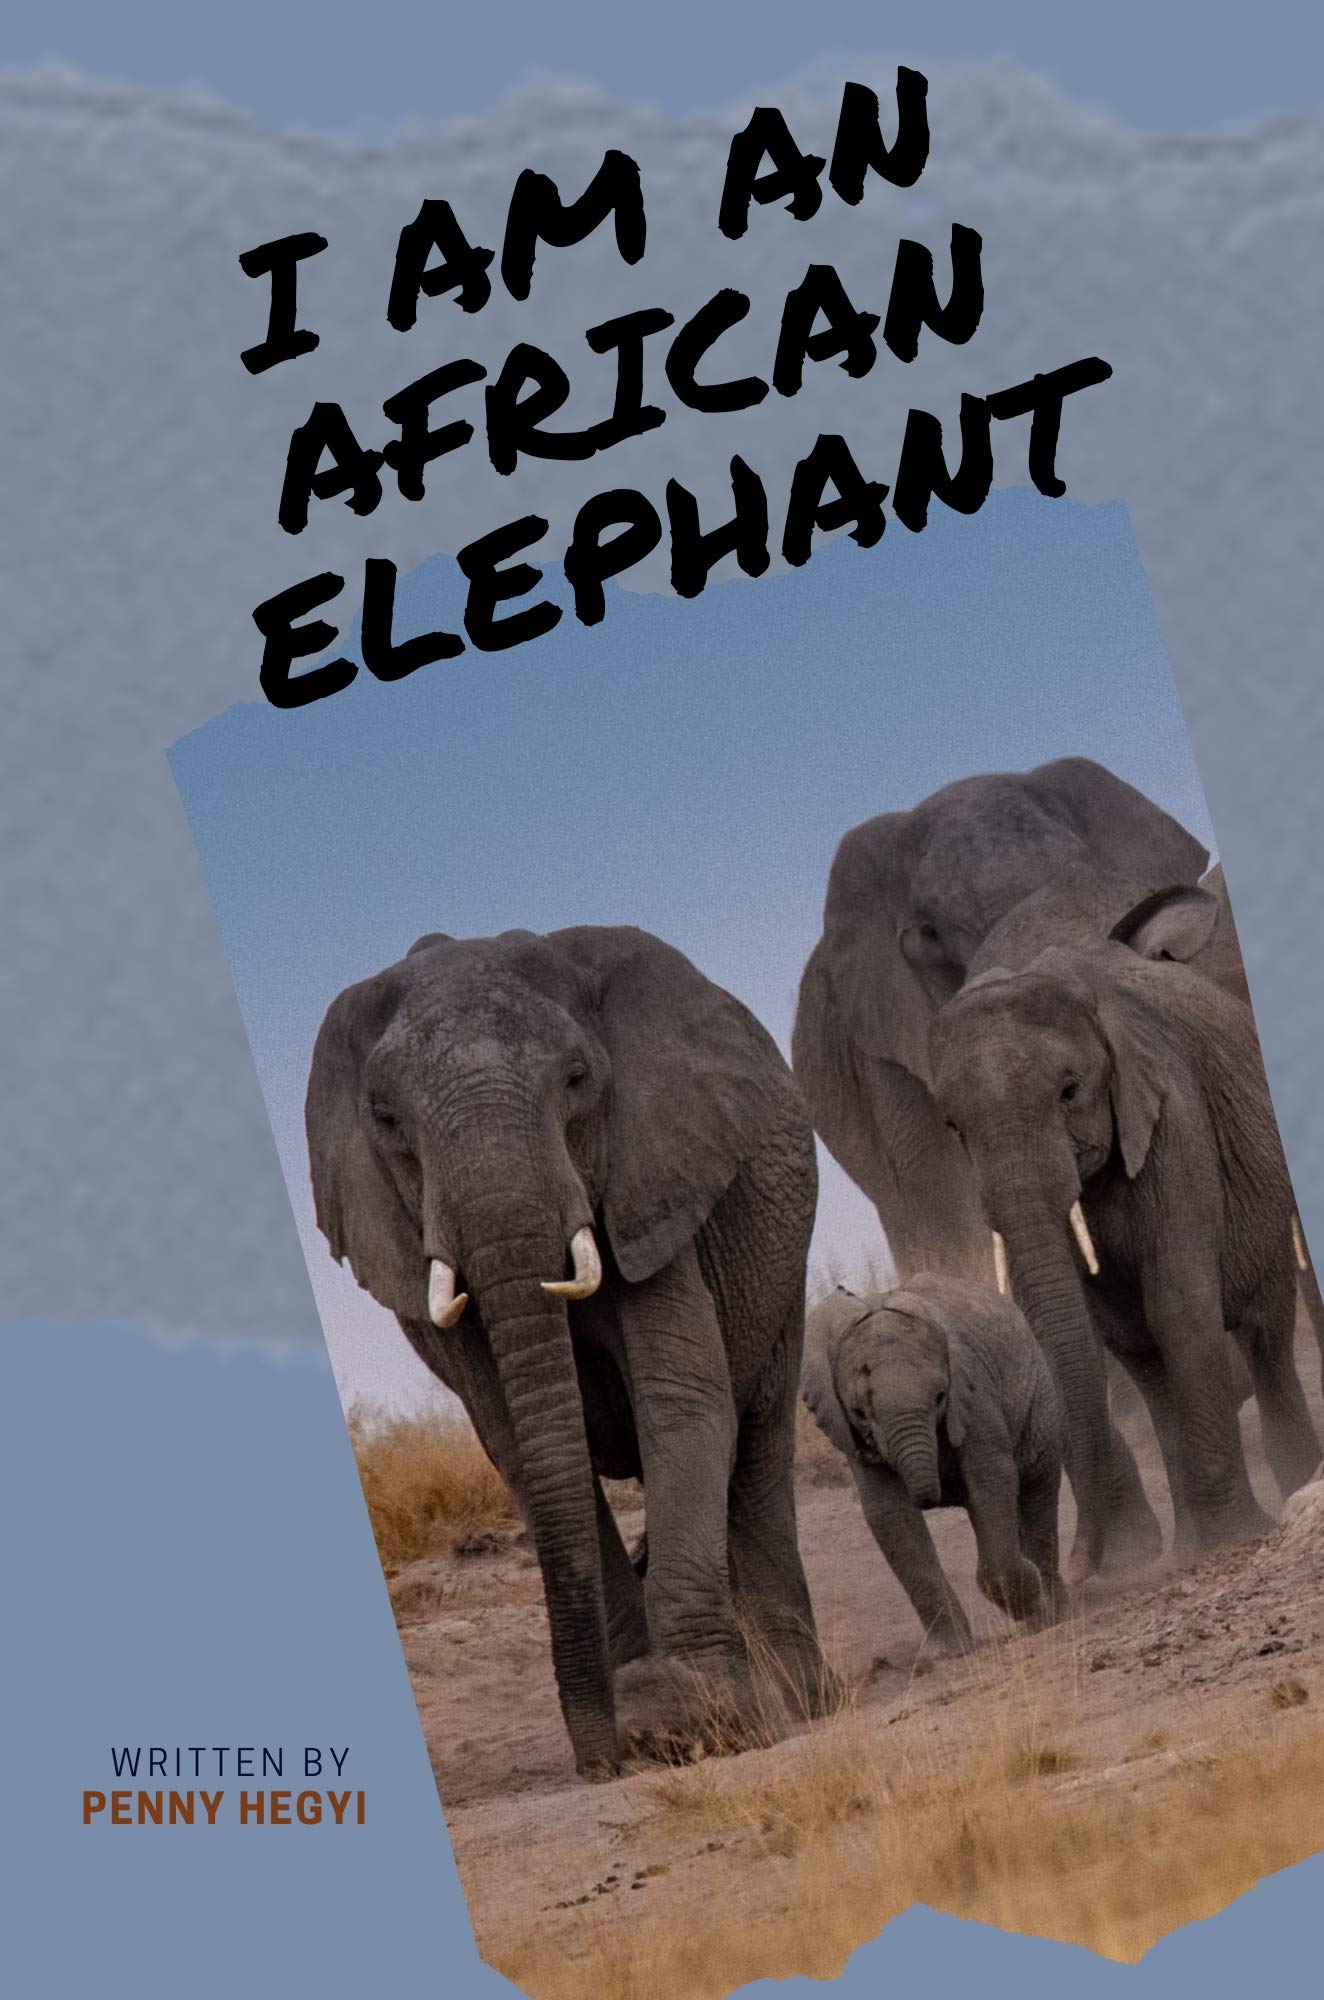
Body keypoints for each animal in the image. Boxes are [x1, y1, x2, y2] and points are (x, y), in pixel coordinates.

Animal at [305, 924, 826, 1778]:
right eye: (386, 1121)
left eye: (578, 1081)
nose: (596, 1760)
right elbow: (526, 1450)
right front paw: (641, 1727)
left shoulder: (654, 1185)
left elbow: (680, 1399)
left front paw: (692, 1720)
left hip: (779, 1274)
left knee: (757, 1450)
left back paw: (802, 1701)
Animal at [802, 1275, 1067, 1654]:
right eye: (860, 1413)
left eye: (941, 1397)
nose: (929, 1498)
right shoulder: (848, 1433)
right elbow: (888, 1512)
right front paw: (949, 1652)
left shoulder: (974, 1392)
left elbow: (991, 1478)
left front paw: (1029, 1592)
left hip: (1040, 1401)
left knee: (1035, 1491)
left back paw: (1054, 1614)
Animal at [930, 884, 1321, 1577]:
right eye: (954, 1127)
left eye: (1069, 1091)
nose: (1080, 1570)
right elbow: (1073, 1330)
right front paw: (1130, 1566)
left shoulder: (1171, 1118)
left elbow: (1178, 1304)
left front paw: (1232, 1538)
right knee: (1145, 1361)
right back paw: (1187, 1544)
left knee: (1263, 1335)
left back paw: (1280, 1490)